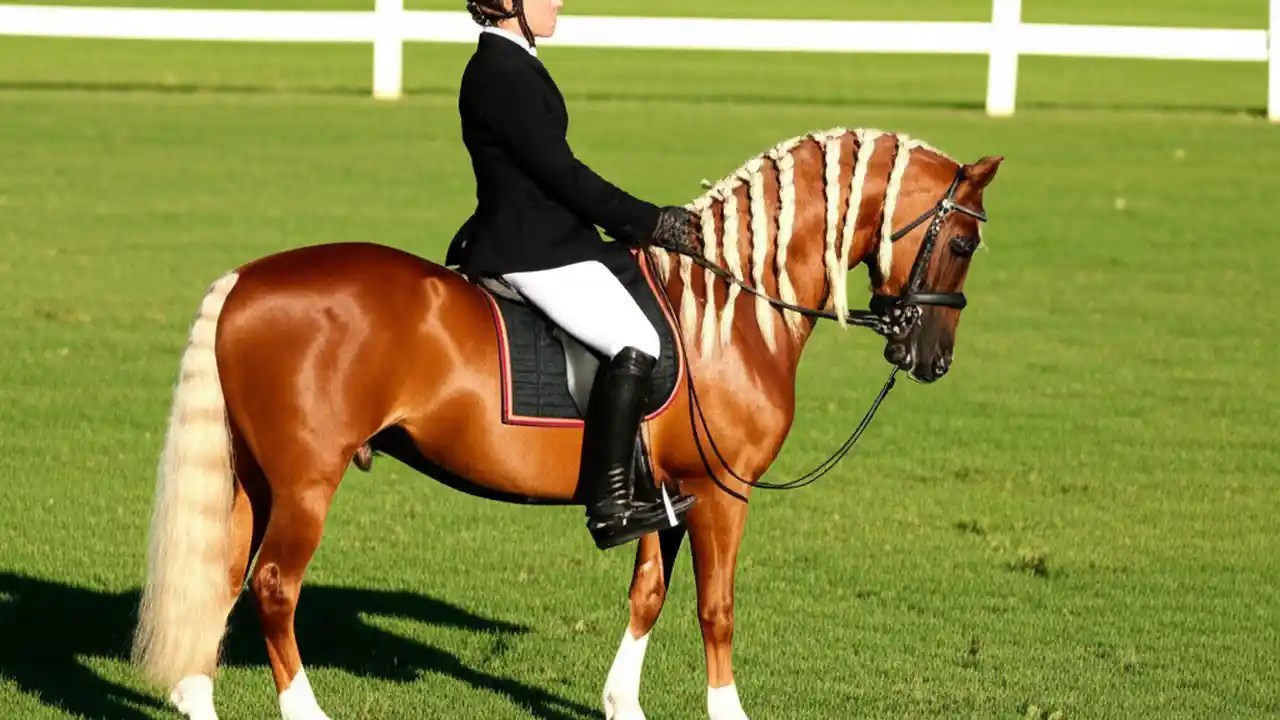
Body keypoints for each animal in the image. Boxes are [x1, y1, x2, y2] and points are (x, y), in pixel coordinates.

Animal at [130, 126, 1001, 720]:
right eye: (963, 241)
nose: (933, 359)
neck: (729, 308)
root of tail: (247, 280)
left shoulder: (666, 493)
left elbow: (648, 593)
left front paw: (622, 704)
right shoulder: (722, 493)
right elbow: (714, 608)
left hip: (254, 477)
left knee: (220, 575)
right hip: (307, 481)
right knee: (276, 585)